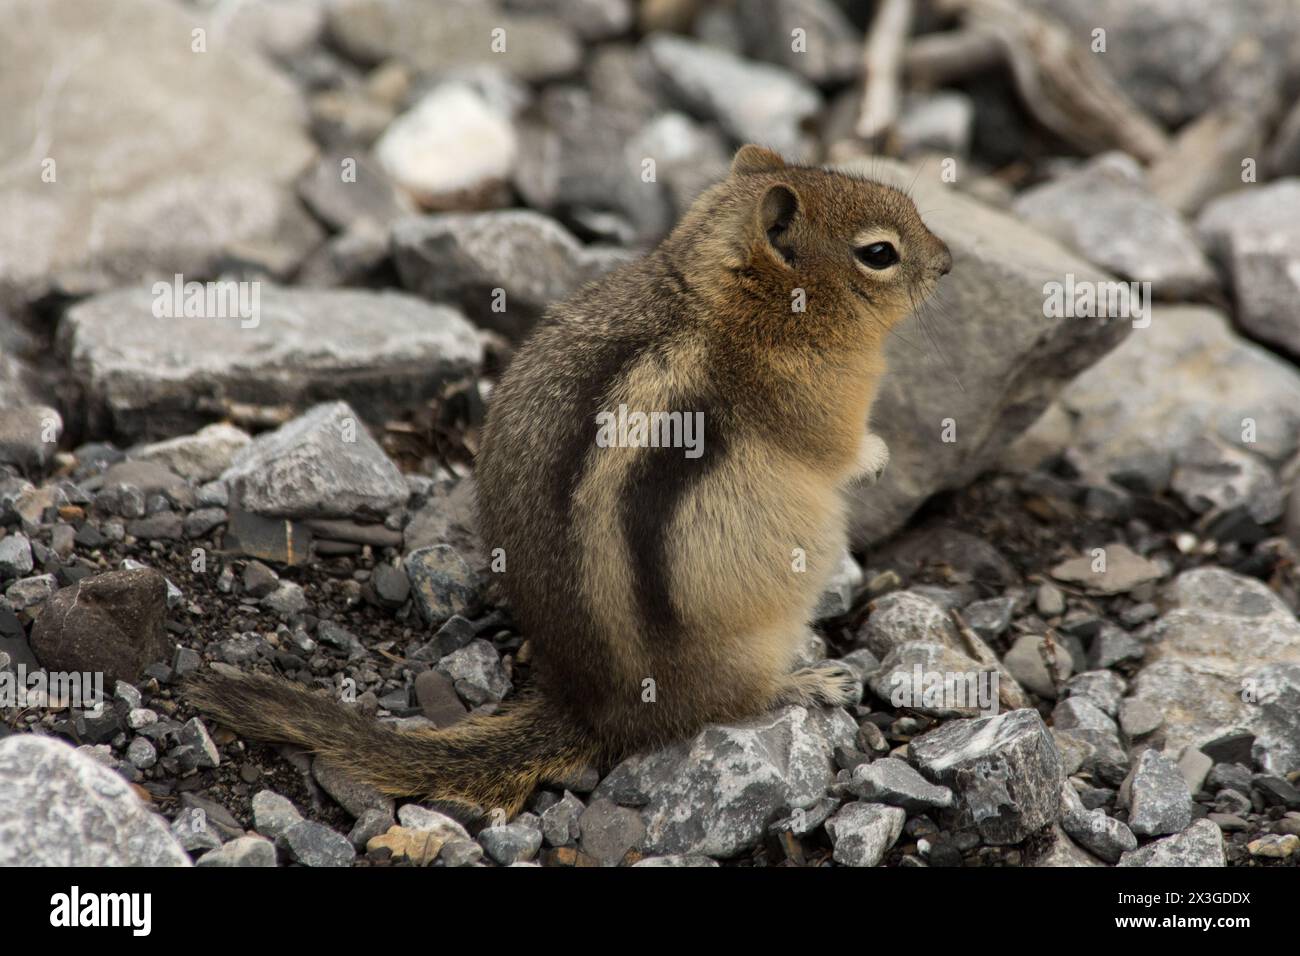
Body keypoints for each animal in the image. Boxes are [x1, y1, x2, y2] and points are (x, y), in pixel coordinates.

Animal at [189, 145, 952, 821]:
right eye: (879, 253)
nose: (947, 262)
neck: (725, 297)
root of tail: (599, 708)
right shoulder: (821, 408)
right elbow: (840, 451)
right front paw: (877, 456)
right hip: (749, 644)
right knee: (734, 705)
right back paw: (810, 681)